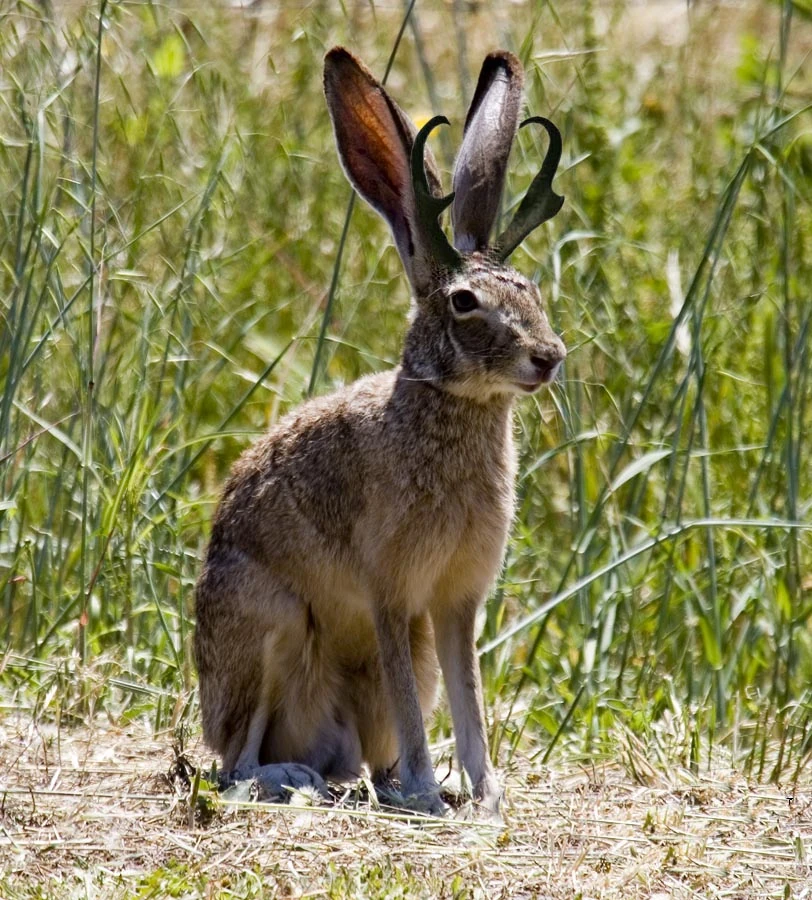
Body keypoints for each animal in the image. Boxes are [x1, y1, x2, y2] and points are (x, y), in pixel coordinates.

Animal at [194, 46, 566, 816]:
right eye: (465, 303)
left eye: (534, 292)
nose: (549, 358)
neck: (453, 407)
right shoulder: (391, 592)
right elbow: (416, 701)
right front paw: (430, 792)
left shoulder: (455, 604)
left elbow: (469, 695)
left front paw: (485, 793)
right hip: (268, 625)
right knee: (235, 763)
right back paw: (299, 777)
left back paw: (382, 781)